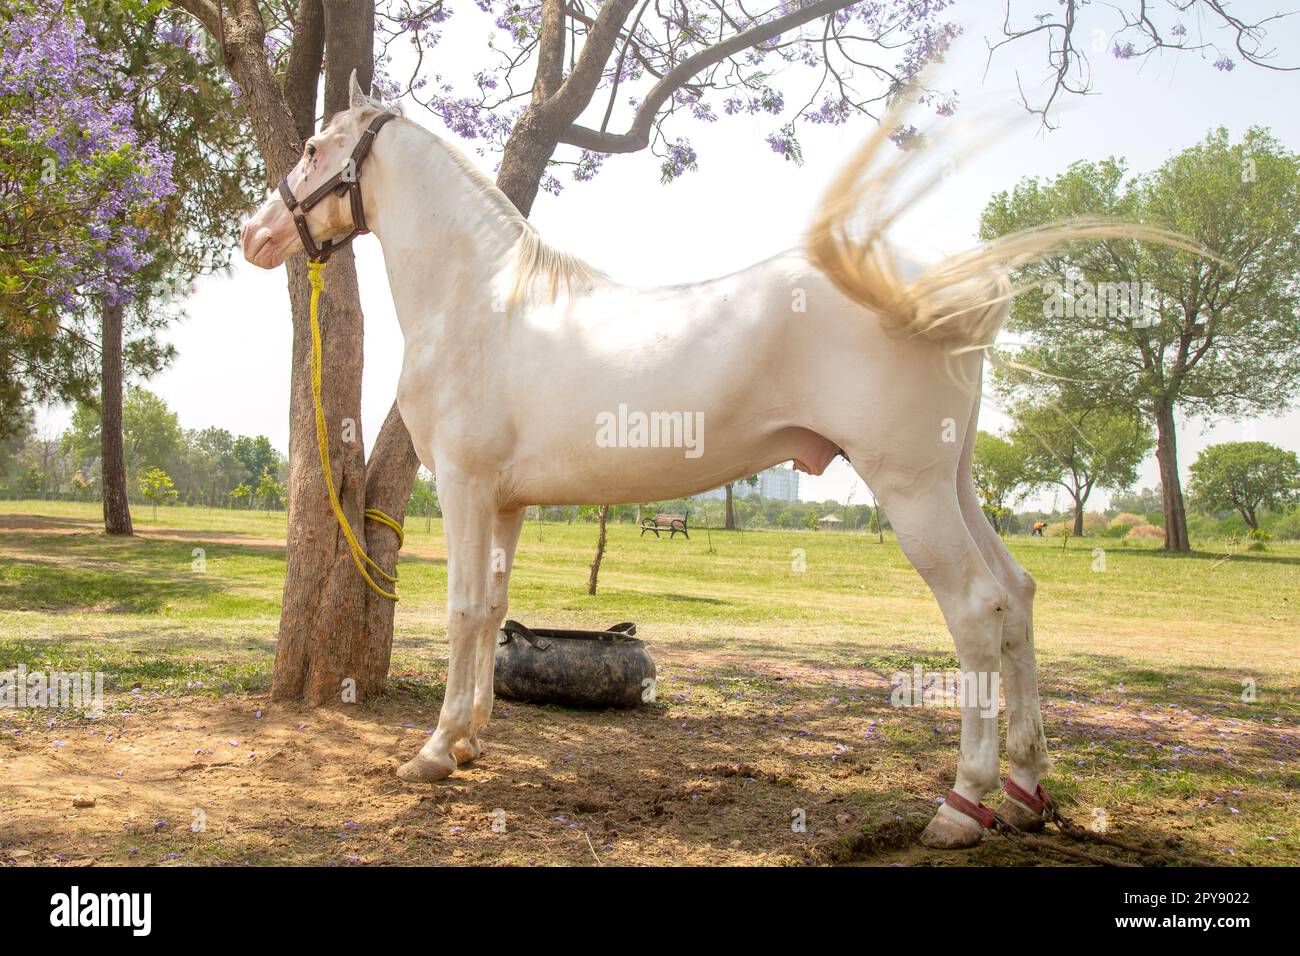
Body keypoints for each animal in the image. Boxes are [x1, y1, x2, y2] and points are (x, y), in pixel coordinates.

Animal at [241, 74, 1193, 848]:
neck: (484, 300)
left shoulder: (468, 489)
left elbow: (464, 612)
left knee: (975, 608)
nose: (255, 234)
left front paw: (435, 752)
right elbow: (496, 610)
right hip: (953, 484)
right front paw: (472, 738)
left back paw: (963, 806)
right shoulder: (506, 502)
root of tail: (939, 289)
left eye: (315, 147)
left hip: (911, 489)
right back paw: (1028, 791)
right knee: (1018, 596)